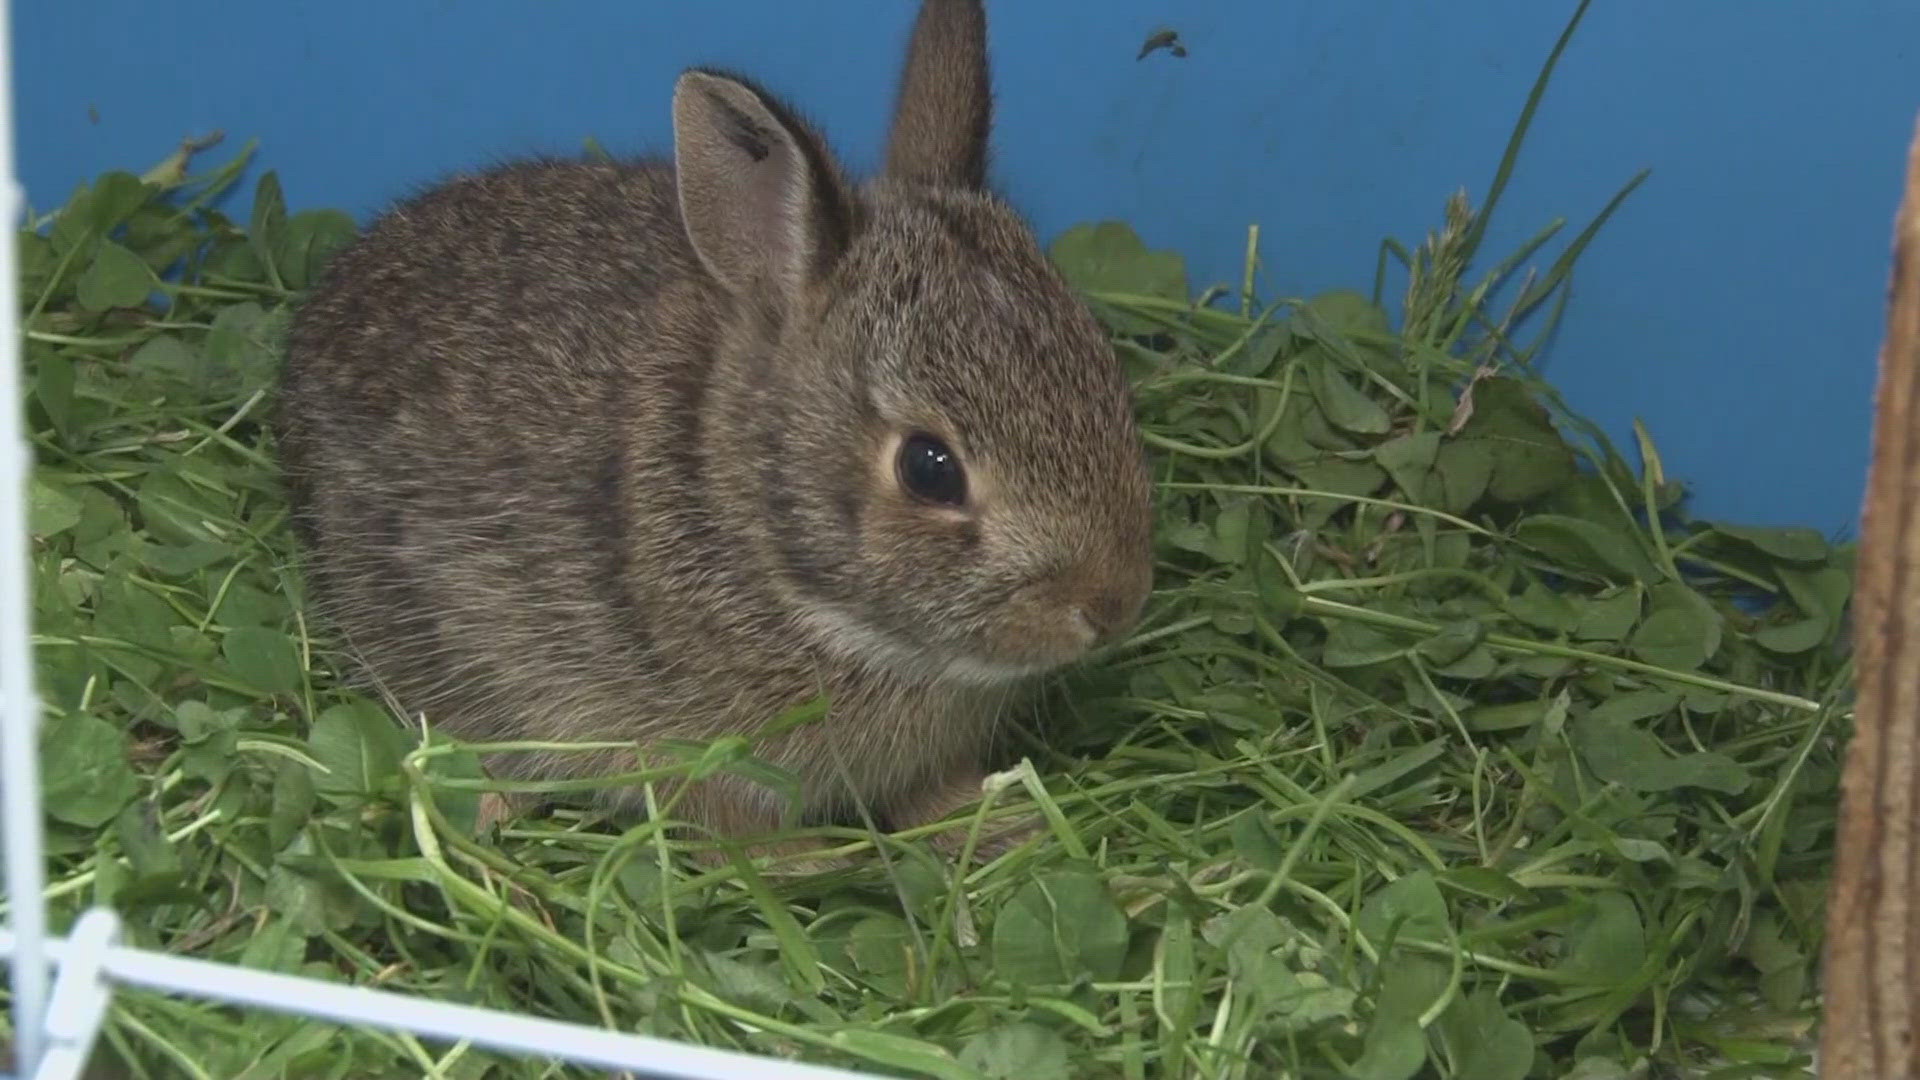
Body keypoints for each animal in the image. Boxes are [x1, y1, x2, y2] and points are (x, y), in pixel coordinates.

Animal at [273, 0, 1155, 870]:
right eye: (929, 468)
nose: (1111, 607)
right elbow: (730, 824)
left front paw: (1004, 826)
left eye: (1104, 369)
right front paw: (815, 861)